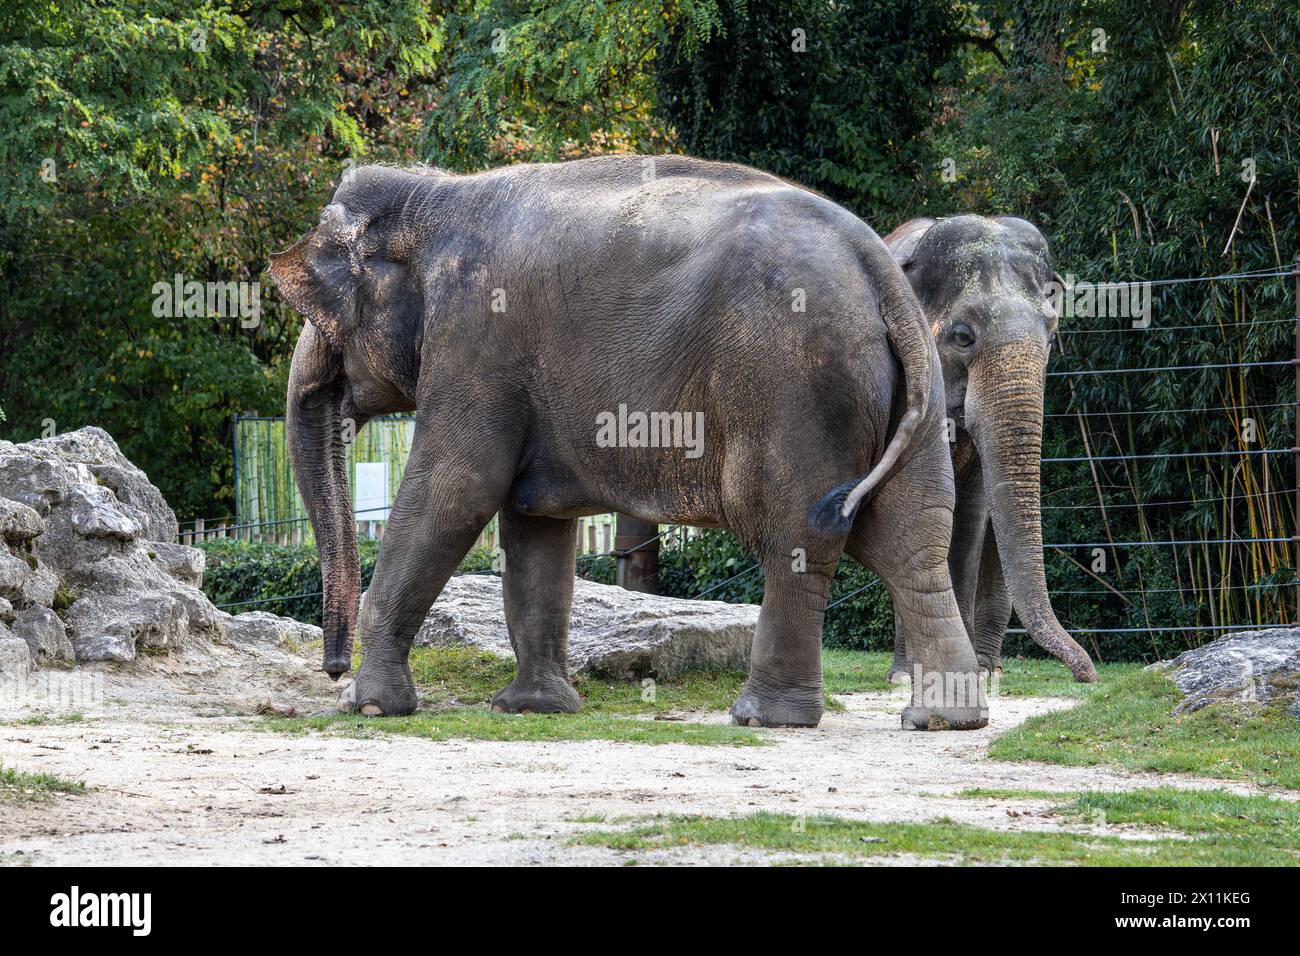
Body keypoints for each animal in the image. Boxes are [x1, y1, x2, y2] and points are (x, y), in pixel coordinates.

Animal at [268, 155, 987, 730]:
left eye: (320, 317)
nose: (331, 668)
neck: (432, 194)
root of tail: (878, 268)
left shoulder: (475, 338)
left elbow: (454, 491)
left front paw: (366, 706)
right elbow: (533, 526)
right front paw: (535, 709)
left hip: (795, 389)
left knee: (796, 538)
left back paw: (764, 718)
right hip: (911, 391)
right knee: (913, 541)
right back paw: (944, 720)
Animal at [882, 215, 1097, 683]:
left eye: (1051, 335)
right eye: (962, 336)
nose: (1087, 675)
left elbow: (971, 516)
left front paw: (964, 672)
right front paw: (910, 674)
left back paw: (989, 667)